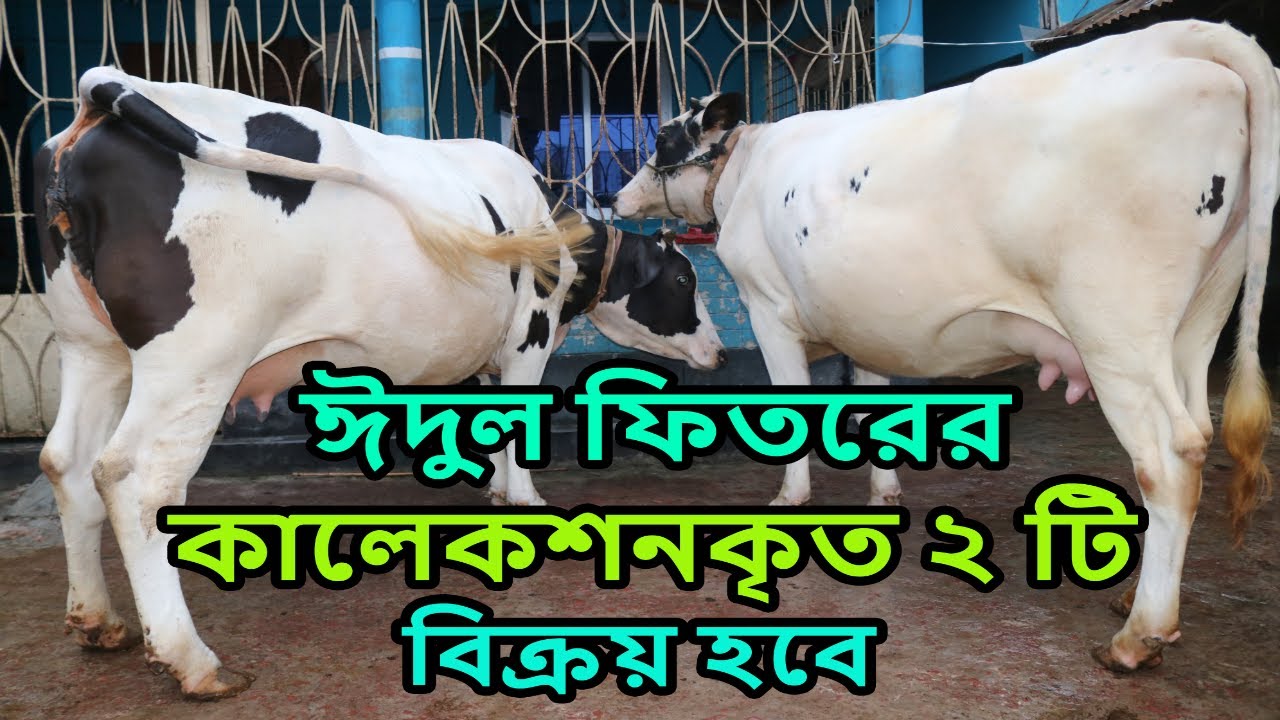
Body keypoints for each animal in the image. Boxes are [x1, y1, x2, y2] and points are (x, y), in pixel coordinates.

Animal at [33, 65, 725, 699]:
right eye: (685, 280)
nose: (718, 351)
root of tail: (106, 95)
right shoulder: (529, 330)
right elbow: (521, 422)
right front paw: (528, 504)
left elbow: (497, 423)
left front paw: (499, 494)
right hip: (196, 356)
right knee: (135, 479)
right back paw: (191, 659)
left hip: (92, 347)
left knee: (66, 460)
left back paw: (97, 621)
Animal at [613, 19, 1279, 674]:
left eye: (662, 142)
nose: (614, 197)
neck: (747, 169)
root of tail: (1182, 34)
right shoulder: (866, 326)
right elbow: (871, 412)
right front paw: (883, 497)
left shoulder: (767, 308)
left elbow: (793, 408)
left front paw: (790, 499)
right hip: (1196, 321)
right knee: (1196, 434)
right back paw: (1131, 599)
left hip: (1117, 328)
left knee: (1168, 462)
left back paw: (1139, 635)